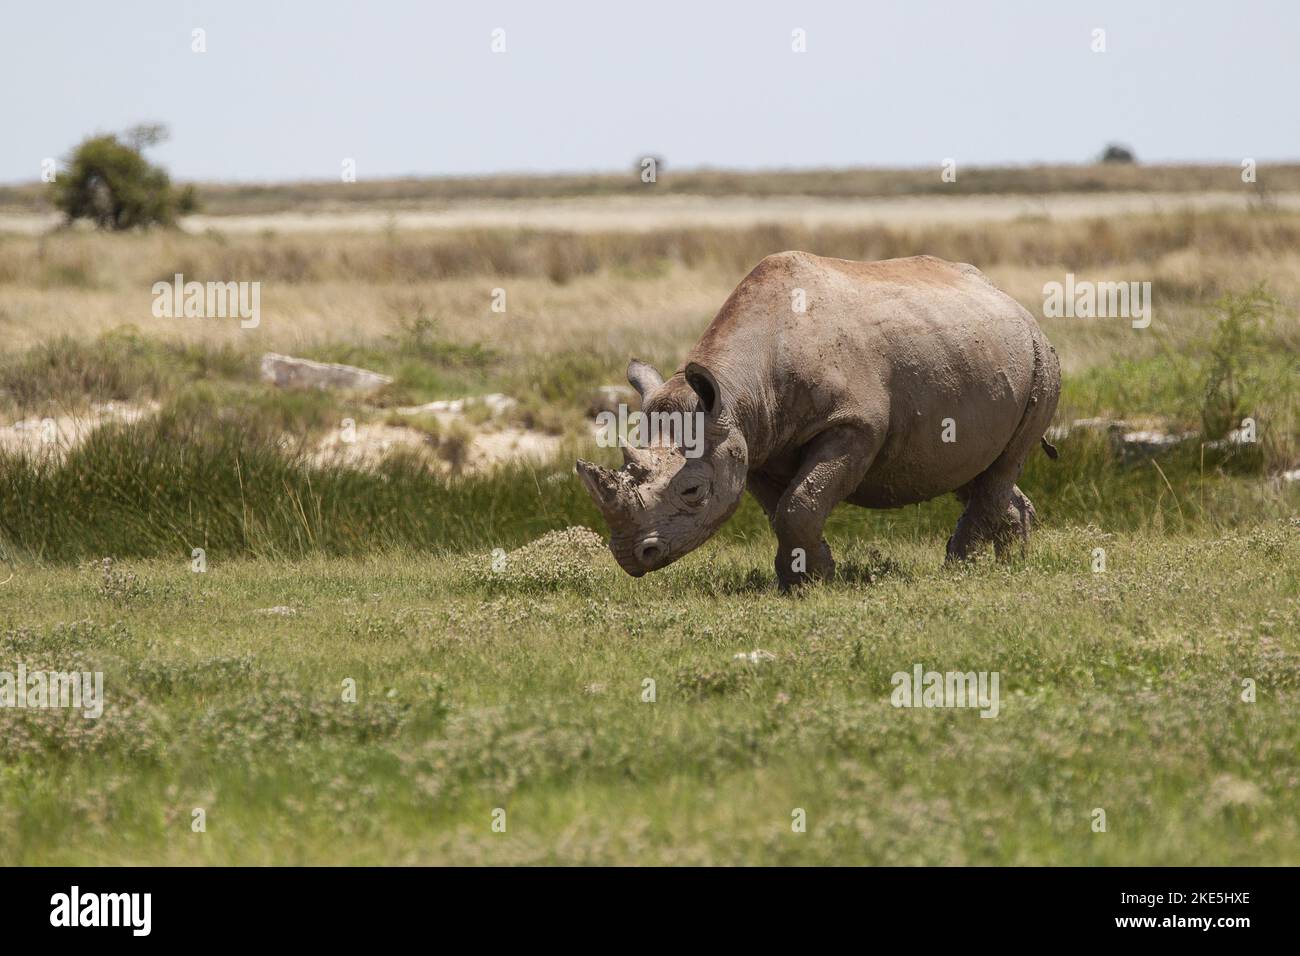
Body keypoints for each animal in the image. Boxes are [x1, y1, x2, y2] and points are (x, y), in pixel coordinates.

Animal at [576, 252, 1060, 590]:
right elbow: (783, 509)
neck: (737, 391)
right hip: (987, 353)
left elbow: (799, 503)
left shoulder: (853, 423)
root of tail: (1013, 303)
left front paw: (809, 584)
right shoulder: (751, 440)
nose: (630, 557)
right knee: (970, 467)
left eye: (693, 491)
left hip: (1042, 359)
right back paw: (1009, 563)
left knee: (999, 464)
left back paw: (960, 568)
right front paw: (805, 578)